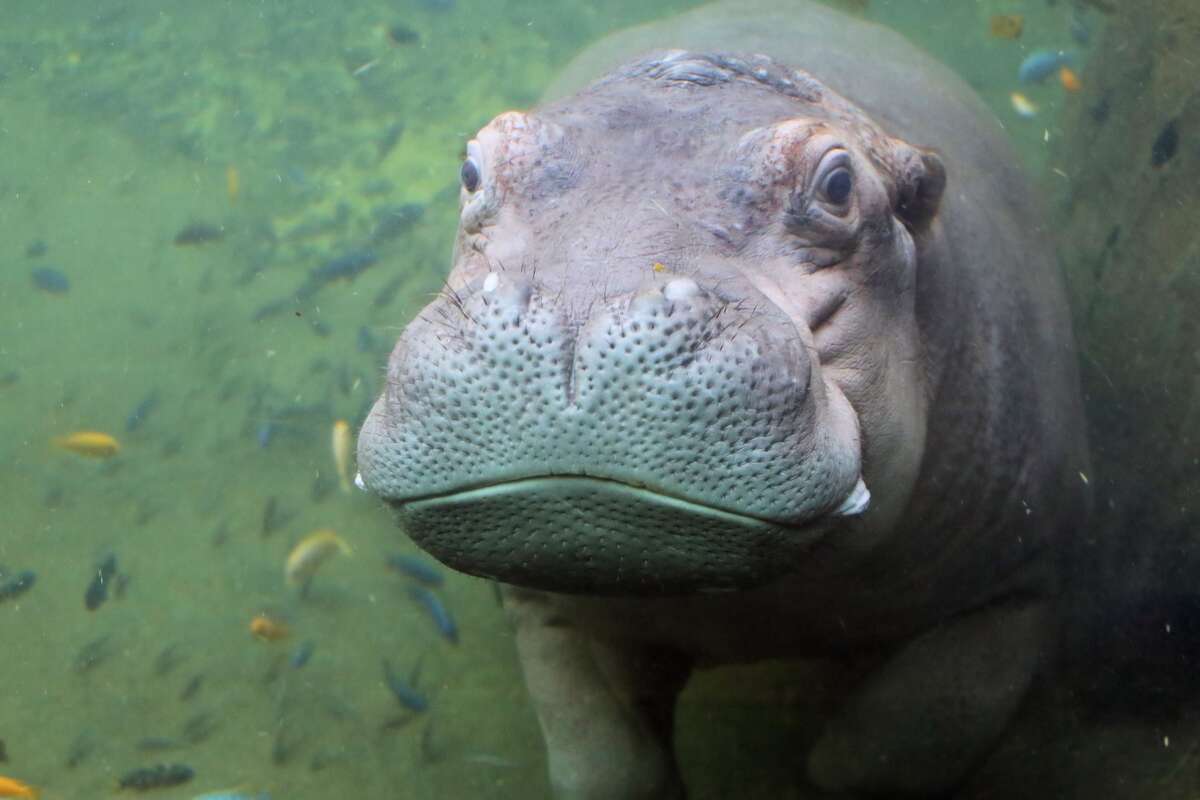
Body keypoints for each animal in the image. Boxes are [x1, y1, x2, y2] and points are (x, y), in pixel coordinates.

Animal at [357, 0, 1089, 795]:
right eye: (471, 168)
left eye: (838, 186)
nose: (580, 313)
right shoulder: (546, 608)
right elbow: (608, 765)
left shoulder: (1014, 594)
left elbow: (876, 756)